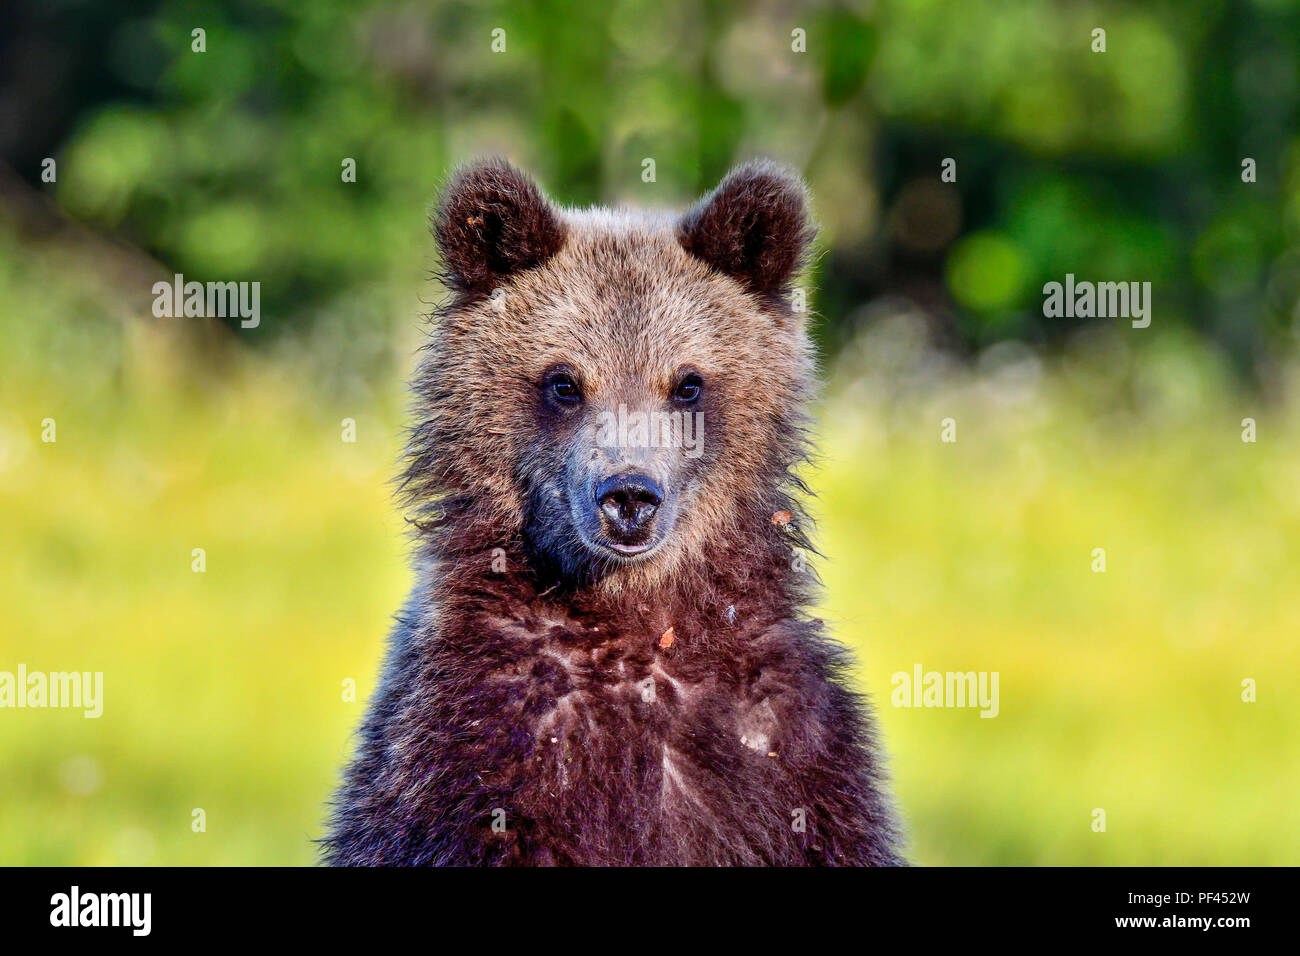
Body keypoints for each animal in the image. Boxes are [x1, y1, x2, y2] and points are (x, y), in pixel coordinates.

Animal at [322, 159, 904, 866]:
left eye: (687, 383)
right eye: (564, 382)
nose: (629, 495)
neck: (628, 620)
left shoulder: (790, 753)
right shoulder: (462, 745)